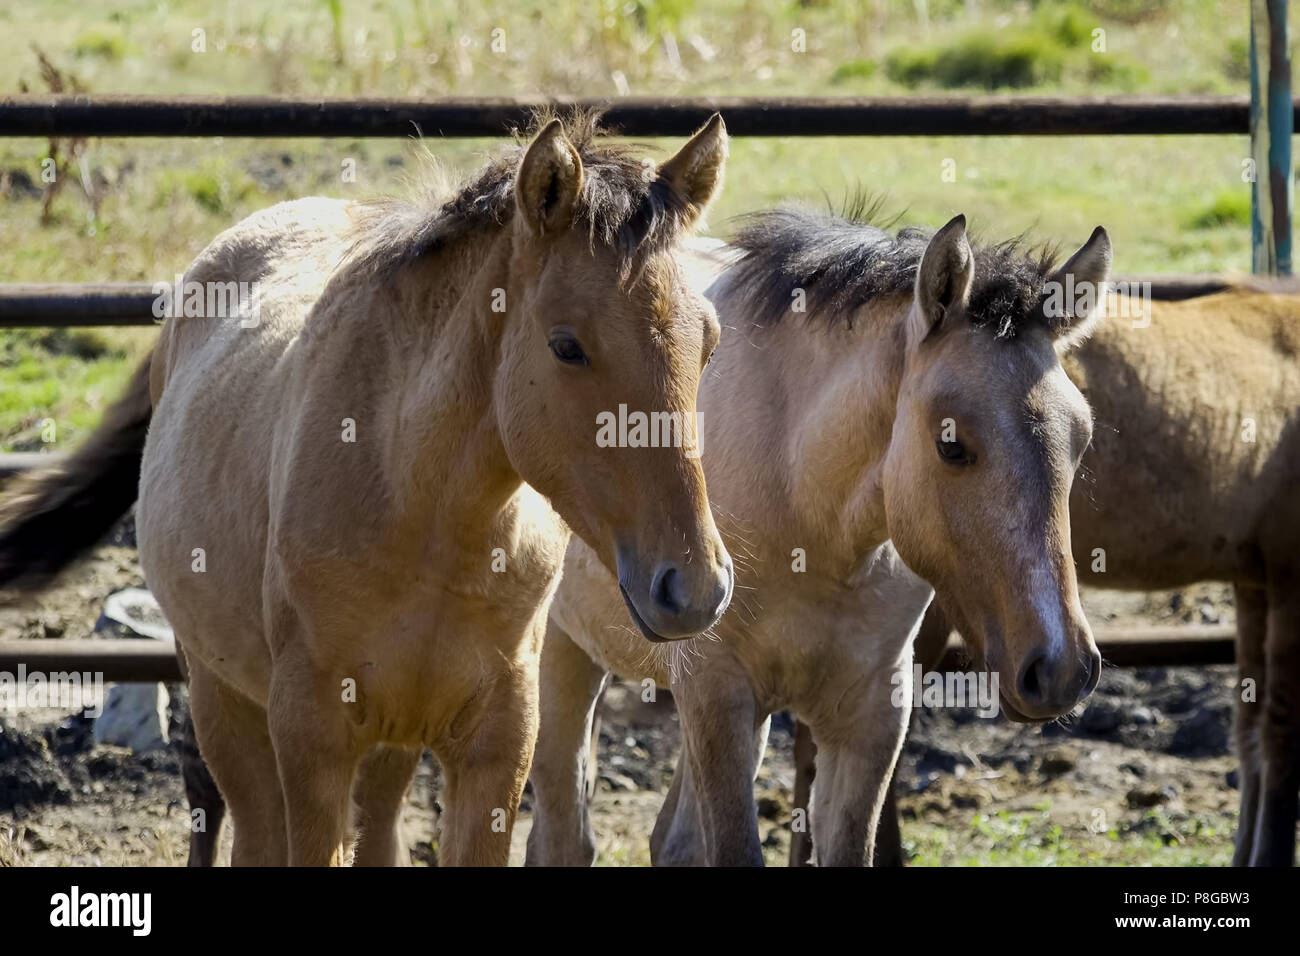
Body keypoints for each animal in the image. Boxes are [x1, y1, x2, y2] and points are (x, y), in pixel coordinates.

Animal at [0, 113, 737, 866]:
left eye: (708, 342)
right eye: (567, 345)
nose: (694, 587)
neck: (423, 510)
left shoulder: (497, 745)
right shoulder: (312, 739)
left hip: (389, 740)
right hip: (221, 696)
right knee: (252, 826)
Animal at [524, 205, 1112, 865]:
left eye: (1081, 439)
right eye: (951, 444)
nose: (1060, 668)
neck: (804, 514)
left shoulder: (869, 719)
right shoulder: (716, 697)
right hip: (559, 656)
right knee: (564, 831)